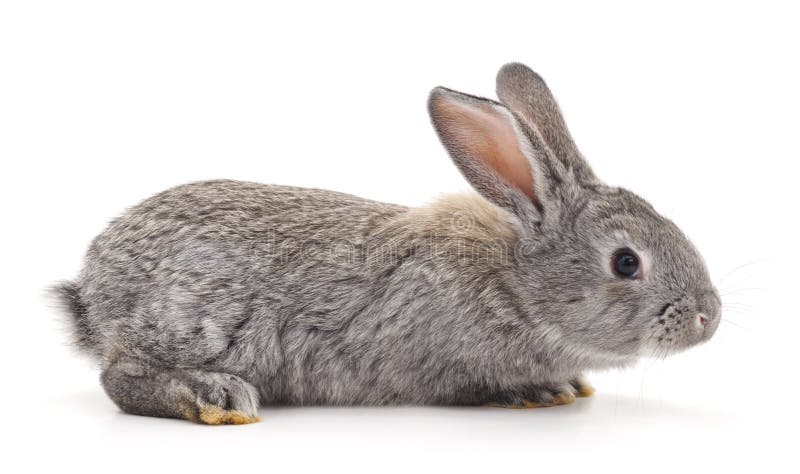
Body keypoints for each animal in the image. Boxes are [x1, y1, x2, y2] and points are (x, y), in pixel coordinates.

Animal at [52, 63, 721, 424]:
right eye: (626, 263)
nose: (708, 319)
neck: (517, 284)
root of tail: (93, 288)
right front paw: (544, 391)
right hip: (195, 319)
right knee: (121, 377)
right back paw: (214, 398)